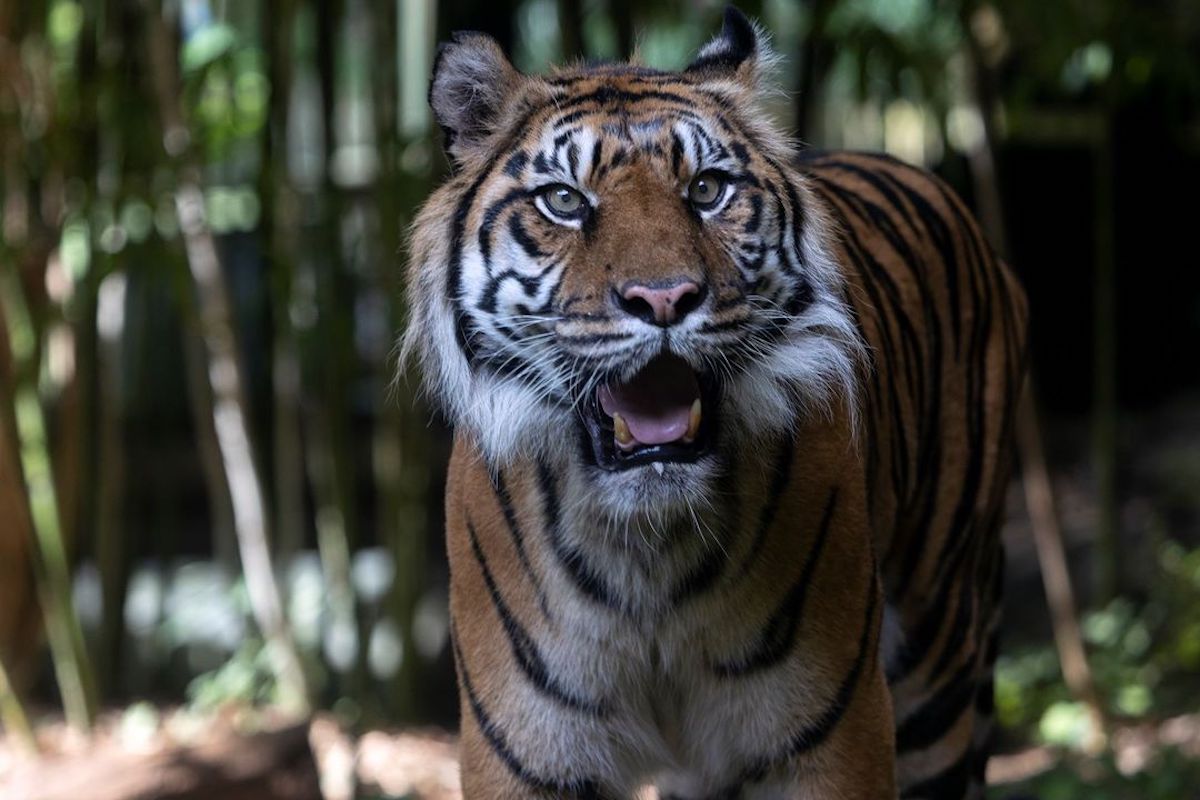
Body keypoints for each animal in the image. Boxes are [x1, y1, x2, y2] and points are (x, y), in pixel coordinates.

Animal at [402, 7, 1028, 799]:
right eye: (565, 201)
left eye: (705, 190)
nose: (665, 298)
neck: (645, 554)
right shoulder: (525, 753)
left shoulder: (832, 737)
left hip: (939, 660)